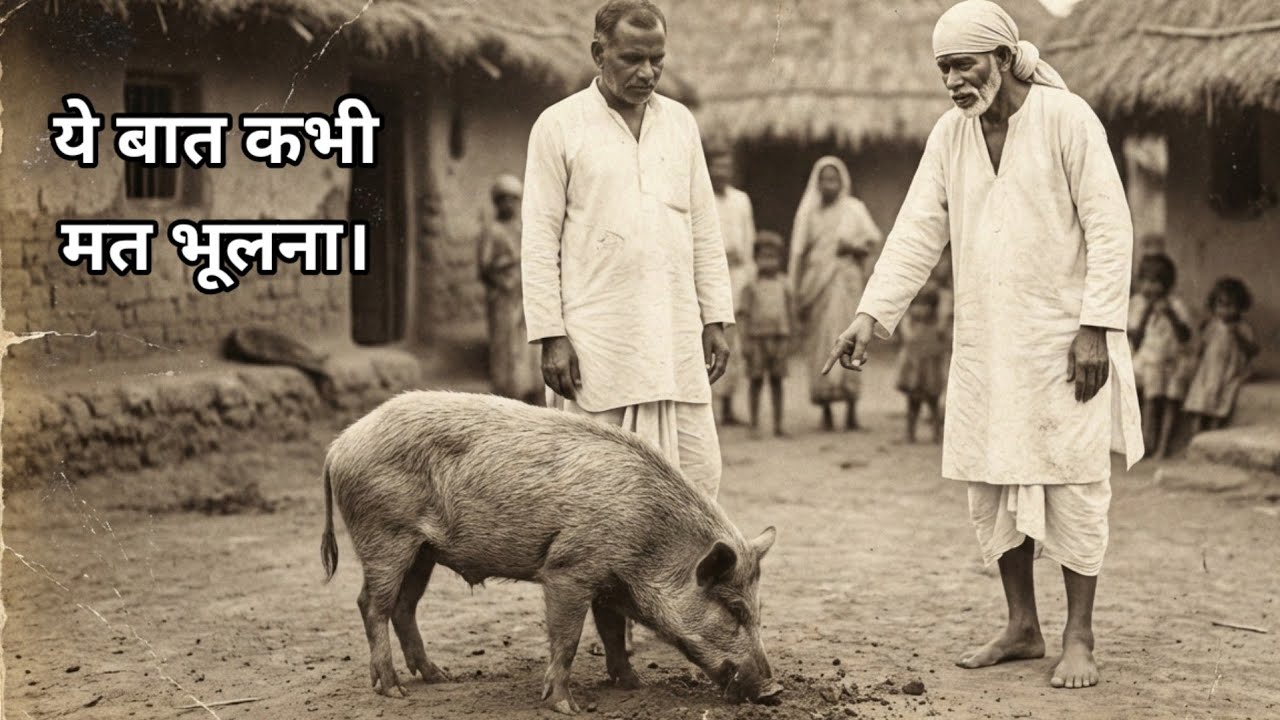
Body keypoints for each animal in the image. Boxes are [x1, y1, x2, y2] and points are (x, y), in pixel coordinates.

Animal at [320, 390, 781, 714]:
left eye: (759, 610)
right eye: (733, 608)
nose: (774, 690)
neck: (648, 538)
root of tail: (339, 444)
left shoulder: (608, 582)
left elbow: (613, 632)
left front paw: (633, 684)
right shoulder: (568, 568)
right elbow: (568, 638)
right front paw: (567, 706)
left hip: (423, 551)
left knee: (405, 607)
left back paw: (440, 677)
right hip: (386, 535)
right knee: (371, 604)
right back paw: (394, 690)